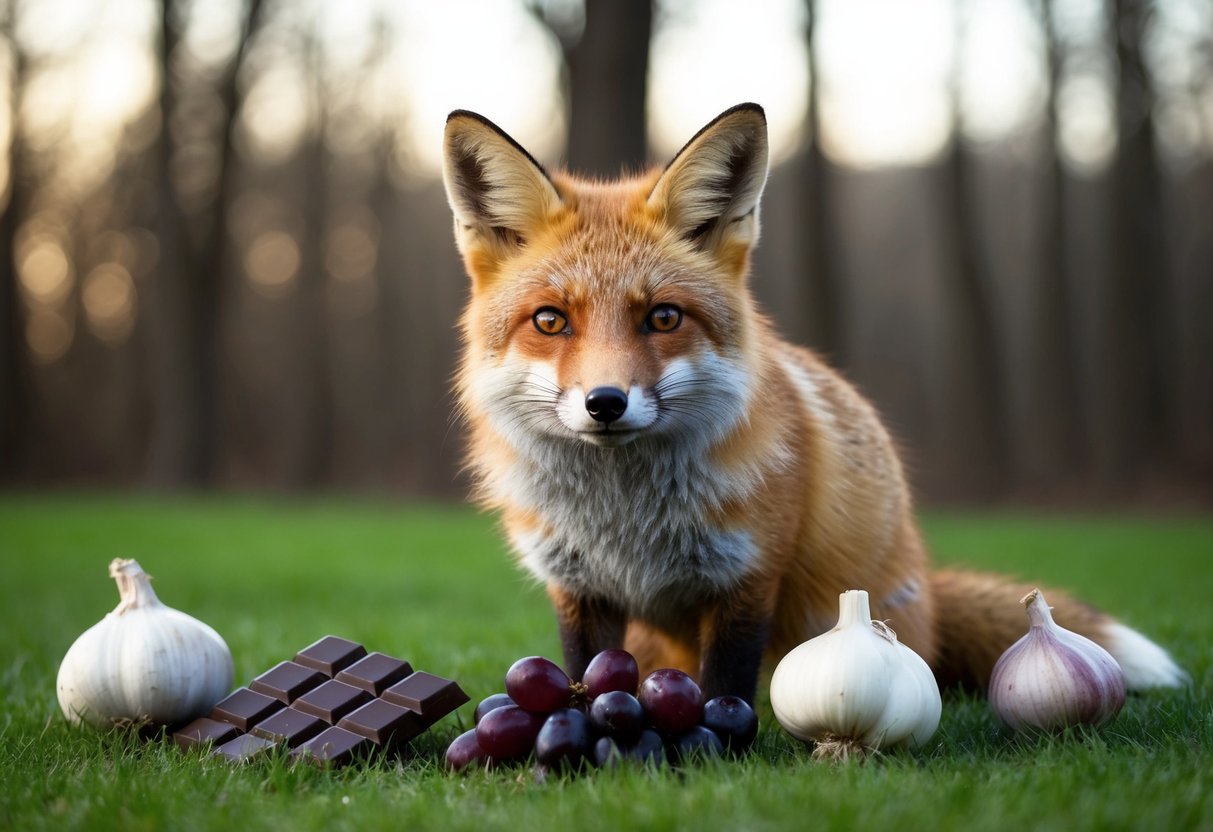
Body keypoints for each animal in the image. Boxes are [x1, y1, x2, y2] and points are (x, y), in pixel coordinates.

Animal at [440, 102, 1187, 704]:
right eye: (549, 321)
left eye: (662, 317)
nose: (605, 403)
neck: (624, 521)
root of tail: (926, 586)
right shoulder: (578, 590)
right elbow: (584, 674)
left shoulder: (747, 578)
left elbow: (725, 682)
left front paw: (714, 748)